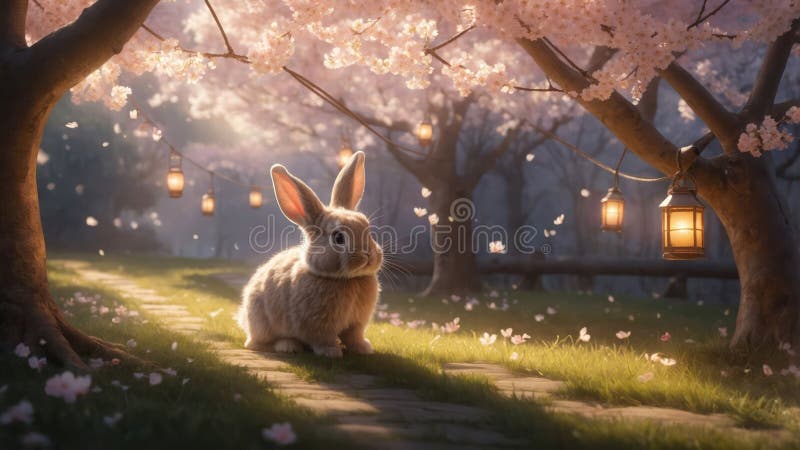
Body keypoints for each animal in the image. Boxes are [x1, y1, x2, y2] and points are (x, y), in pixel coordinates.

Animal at [237, 151, 382, 358]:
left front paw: (363, 348)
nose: (368, 255)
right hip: (260, 320)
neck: (346, 280)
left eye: (368, 230)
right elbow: (323, 339)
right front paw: (331, 352)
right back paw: (288, 346)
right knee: (258, 342)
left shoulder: (357, 323)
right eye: (339, 237)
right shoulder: (318, 325)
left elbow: (354, 336)